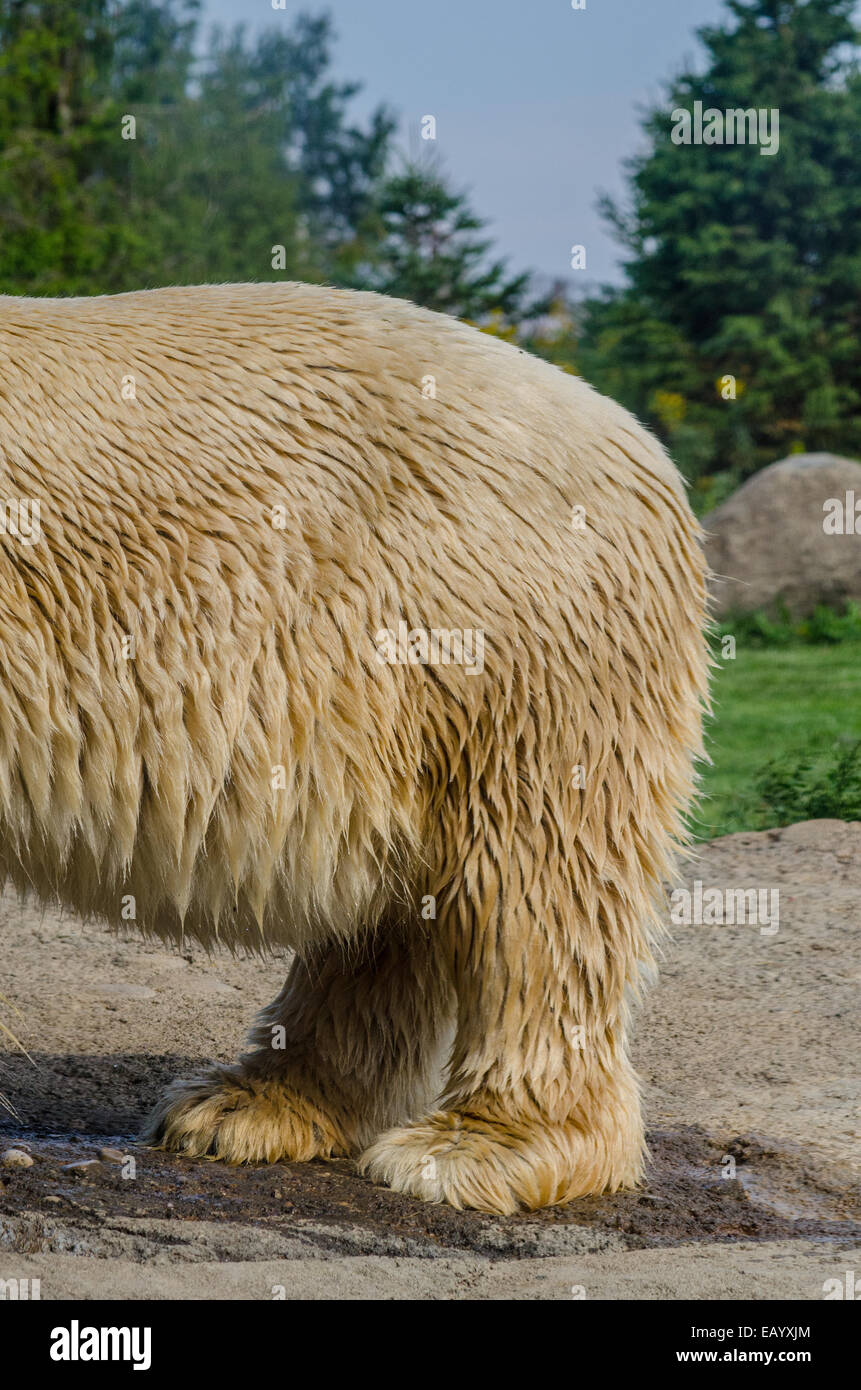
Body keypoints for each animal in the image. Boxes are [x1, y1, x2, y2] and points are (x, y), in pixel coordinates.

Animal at [0, 282, 709, 1214]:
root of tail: (643, 450)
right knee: (388, 906)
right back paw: (248, 1105)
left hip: (501, 642)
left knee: (537, 882)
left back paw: (480, 1145)